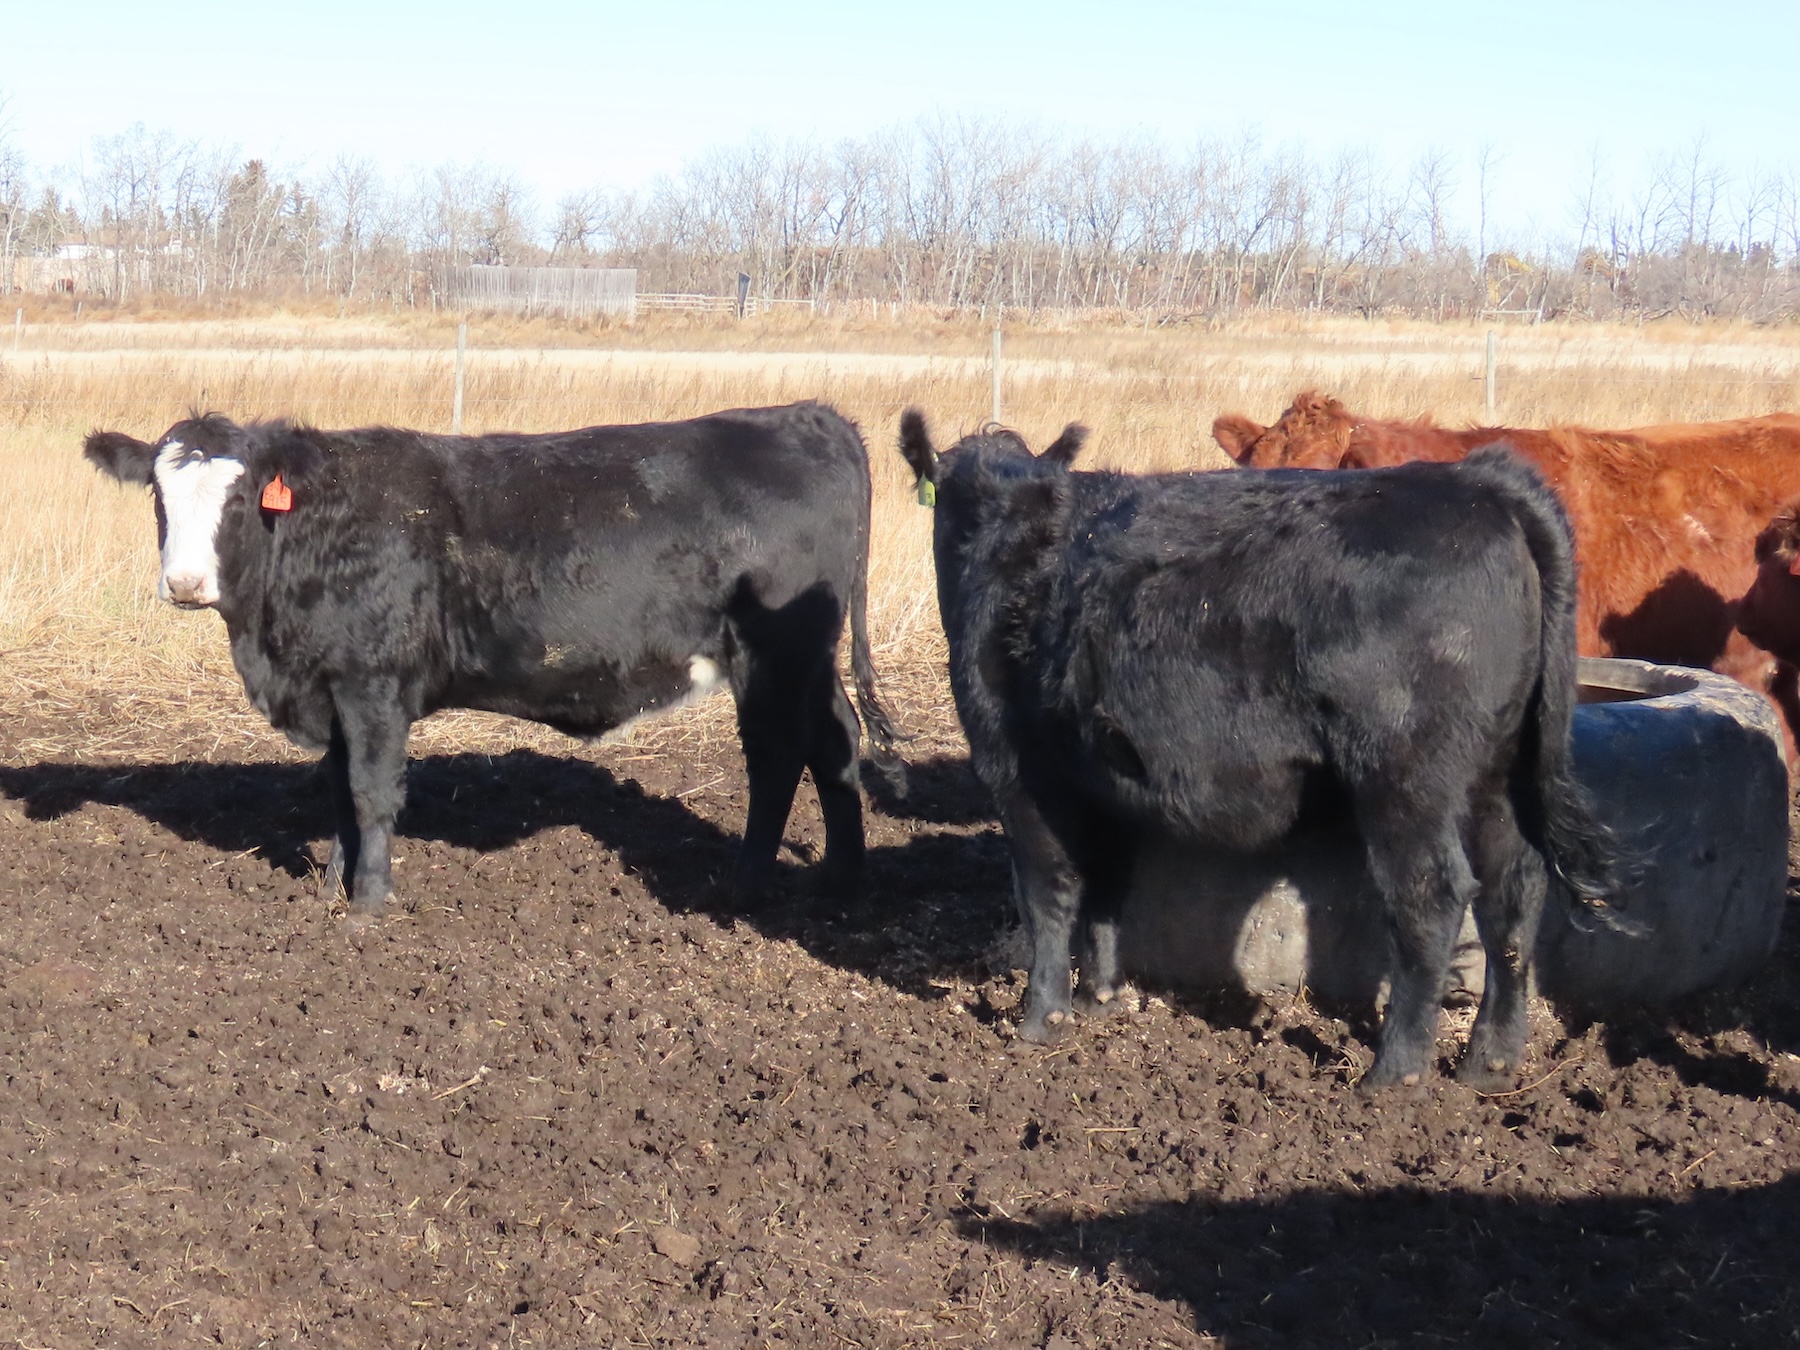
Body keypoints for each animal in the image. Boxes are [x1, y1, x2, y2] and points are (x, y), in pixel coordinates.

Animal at [83, 403, 900, 915]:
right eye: (158, 494)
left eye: (239, 495)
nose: (185, 584)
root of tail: (808, 415)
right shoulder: (332, 688)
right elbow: (338, 793)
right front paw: (331, 888)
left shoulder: (372, 685)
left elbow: (371, 793)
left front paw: (368, 903)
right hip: (810, 658)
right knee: (836, 741)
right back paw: (842, 878)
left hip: (769, 657)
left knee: (777, 757)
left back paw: (745, 886)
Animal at [899, 409, 1622, 1089]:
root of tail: (1479, 482)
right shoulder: (1105, 773)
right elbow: (1107, 881)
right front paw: (1101, 998)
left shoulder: (1017, 765)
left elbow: (1049, 887)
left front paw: (1041, 1017)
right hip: (1501, 770)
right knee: (1513, 893)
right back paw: (1490, 1061)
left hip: (1404, 775)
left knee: (1431, 896)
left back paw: (1395, 1071)